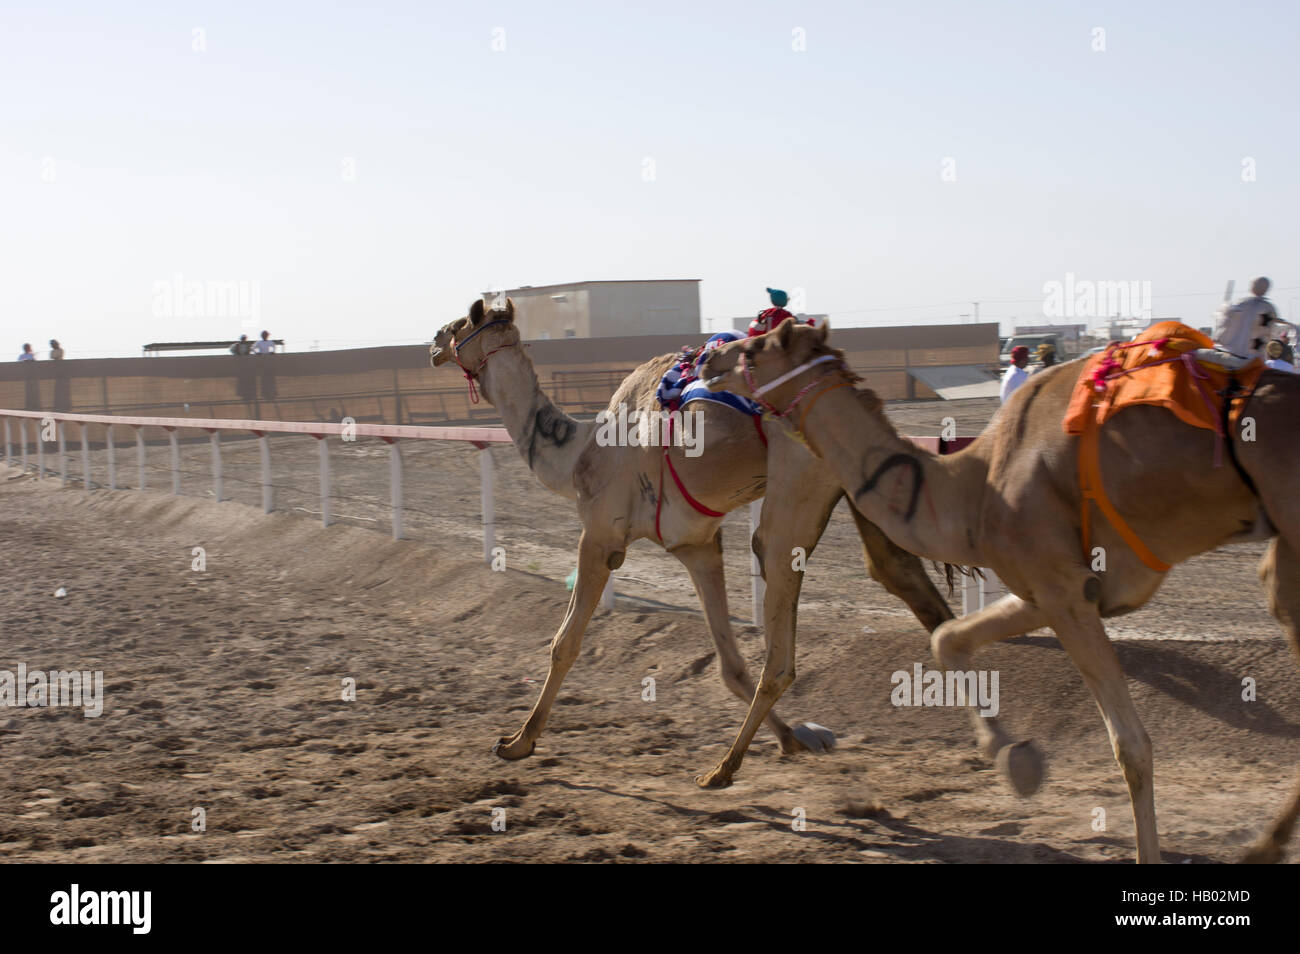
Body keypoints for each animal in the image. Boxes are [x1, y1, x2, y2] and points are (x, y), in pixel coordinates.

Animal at [429, 298, 954, 776]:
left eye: (460, 324)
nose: (433, 342)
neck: (578, 452)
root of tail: (857, 392)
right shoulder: (697, 546)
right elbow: (729, 664)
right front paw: (793, 738)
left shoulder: (600, 536)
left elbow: (564, 643)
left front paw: (518, 741)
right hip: (856, 483)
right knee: (902, 575)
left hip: (798, 482)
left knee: (780, 615)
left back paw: (724, 768)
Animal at [699, 317, 1300, 863]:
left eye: (753, 348)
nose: (706, 359)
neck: (974, 485)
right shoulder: (1051, 589)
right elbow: (947, 638)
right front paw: (1016, 759)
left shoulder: (1061, 588)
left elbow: (1131, 746)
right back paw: (1263, 846)